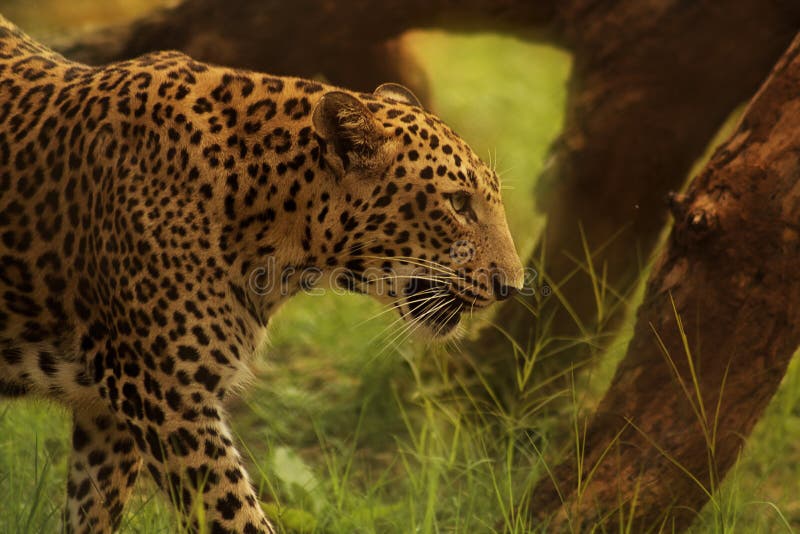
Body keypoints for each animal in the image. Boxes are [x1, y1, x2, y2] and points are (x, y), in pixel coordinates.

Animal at [0, 14, 524, 534]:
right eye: (458, 203)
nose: (513, 287)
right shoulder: (167, 398)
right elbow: (239, 519)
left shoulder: (108, 415)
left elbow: (90, 511)